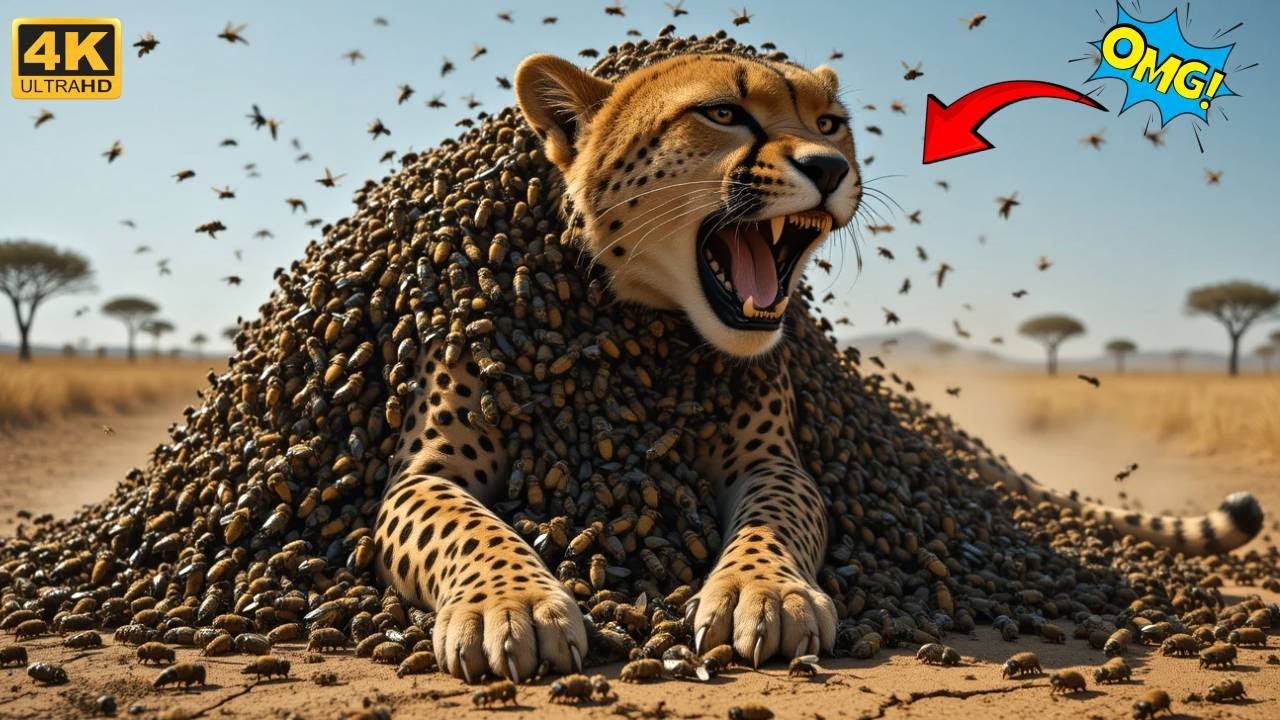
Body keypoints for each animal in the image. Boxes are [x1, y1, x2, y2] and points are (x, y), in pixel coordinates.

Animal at [371, 48, 1263, 685]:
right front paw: (514, 603)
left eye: (832, 123)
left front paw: (766, 592)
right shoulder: (424, 473)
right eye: (723, 113)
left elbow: (775, 519)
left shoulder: (773, 460)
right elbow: (471, 527)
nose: (831, 169)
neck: (639, 325)